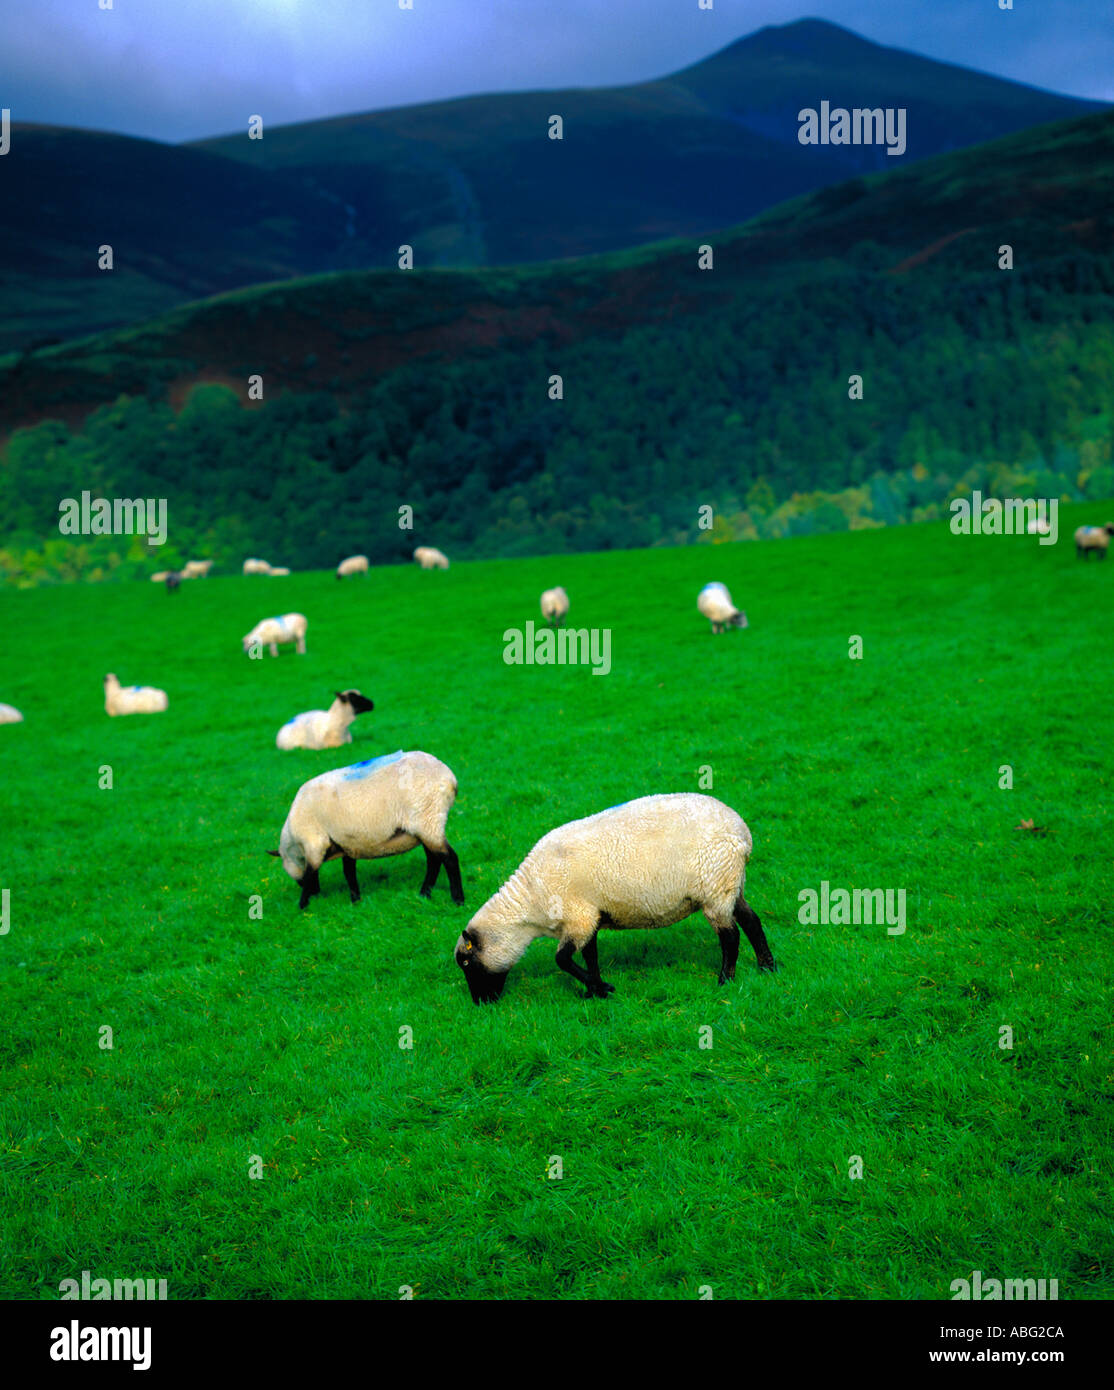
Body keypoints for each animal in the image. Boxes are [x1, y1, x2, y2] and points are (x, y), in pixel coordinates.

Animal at [269, 750, 464, 909]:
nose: (317, 893)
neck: (295, 845)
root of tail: (450, 777)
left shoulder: (314, 843)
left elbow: (310, 873)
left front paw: (302, 906)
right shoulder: (347, 843)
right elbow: (349, 873)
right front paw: (356, 901)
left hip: (428, 819)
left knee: (449, 858)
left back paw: (458, 900)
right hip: (425, 826)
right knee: (434, 860)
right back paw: (424, 894)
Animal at [454, 792, 774, 1004]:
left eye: (467, 963)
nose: (480, 1004)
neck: (530, 901)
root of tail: (742, 832)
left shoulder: (578, 917)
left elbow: (562, 959)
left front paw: (602, 988)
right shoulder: (589, 918)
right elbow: (589, 956)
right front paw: (593, 990)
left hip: (715, 888)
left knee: (730, 936)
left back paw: (725, 980)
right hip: (731, 884)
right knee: (752, 922)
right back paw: (768, 967)